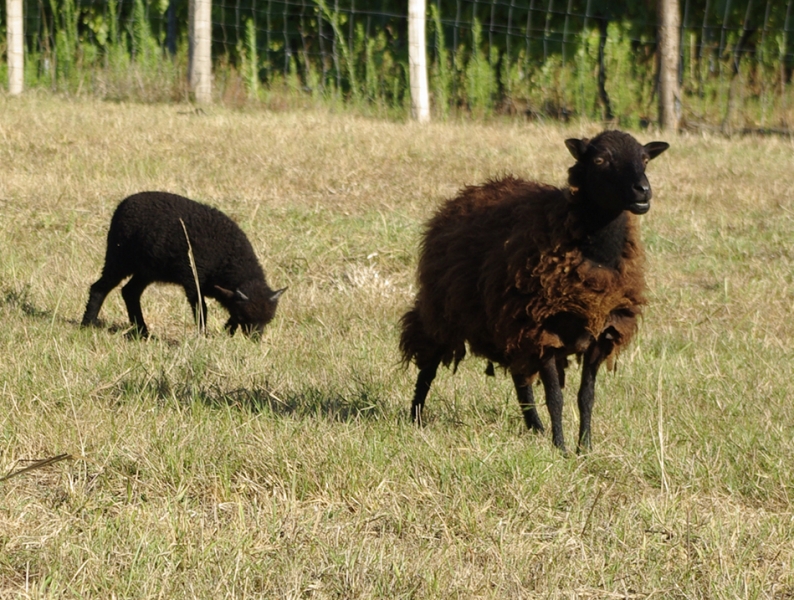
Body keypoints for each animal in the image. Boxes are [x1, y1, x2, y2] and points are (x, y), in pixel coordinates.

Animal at [81, 191, 285, 338]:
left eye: (269, 320)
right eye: (245, 317)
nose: (255, 339)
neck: (229, 259)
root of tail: (125, 202)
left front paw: (227, 332)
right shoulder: (193, 281)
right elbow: (202, 309)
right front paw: (203, 336)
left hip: (147, 270)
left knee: (130, 292)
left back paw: (143, 332)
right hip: (119, 259)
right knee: (99, 288)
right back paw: (88, 323)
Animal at [399, 130, 669, 453]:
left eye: (645, 159)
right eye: (600, 160)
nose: (643, 191)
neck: (596, 256)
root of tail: (469, 193)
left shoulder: (600, 333)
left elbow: (586, 397)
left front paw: (585, 447)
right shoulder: (543, 329)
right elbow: (556, 397)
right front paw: (561, 448)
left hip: (509, 322)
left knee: (520, 377)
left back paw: (535, 427)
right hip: (445, 308)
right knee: (428, 362)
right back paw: (415, 416)